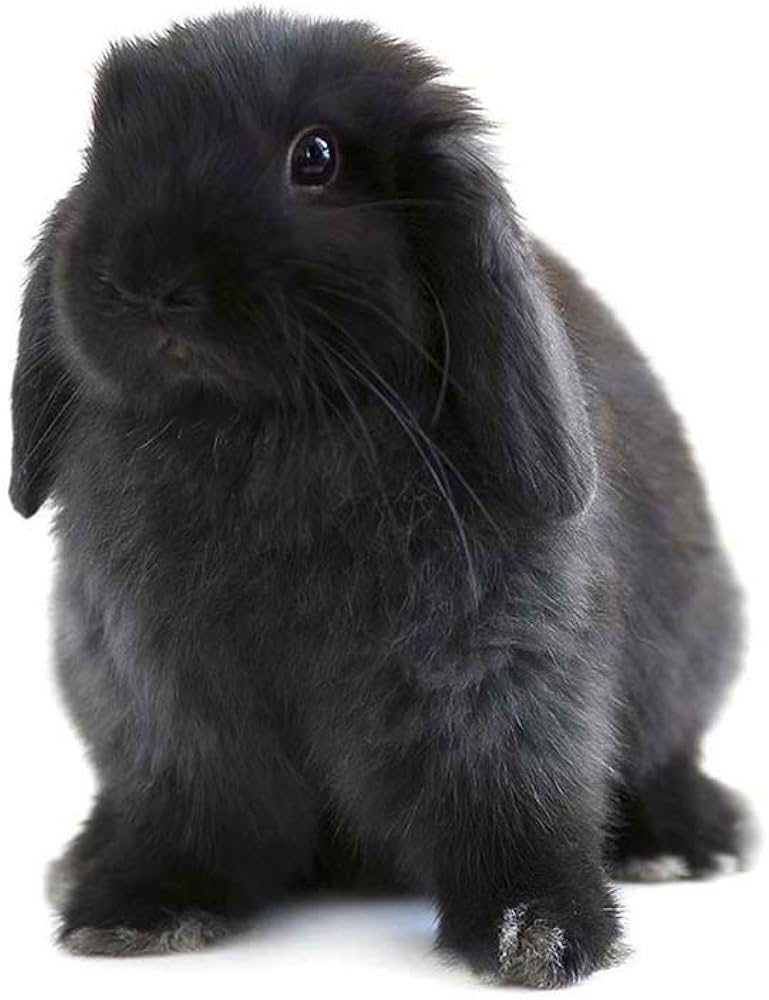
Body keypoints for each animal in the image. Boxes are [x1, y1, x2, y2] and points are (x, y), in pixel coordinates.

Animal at [10, 8, 751, 988]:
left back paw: (684, 841)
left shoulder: (486, 666)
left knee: (665, 753)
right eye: (101, 148)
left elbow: (509, 794)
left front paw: (543, 934)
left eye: (315, 158)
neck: (258, 427)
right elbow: (191, 803)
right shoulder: (159, 687)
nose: (146, 282)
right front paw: (138, 908)